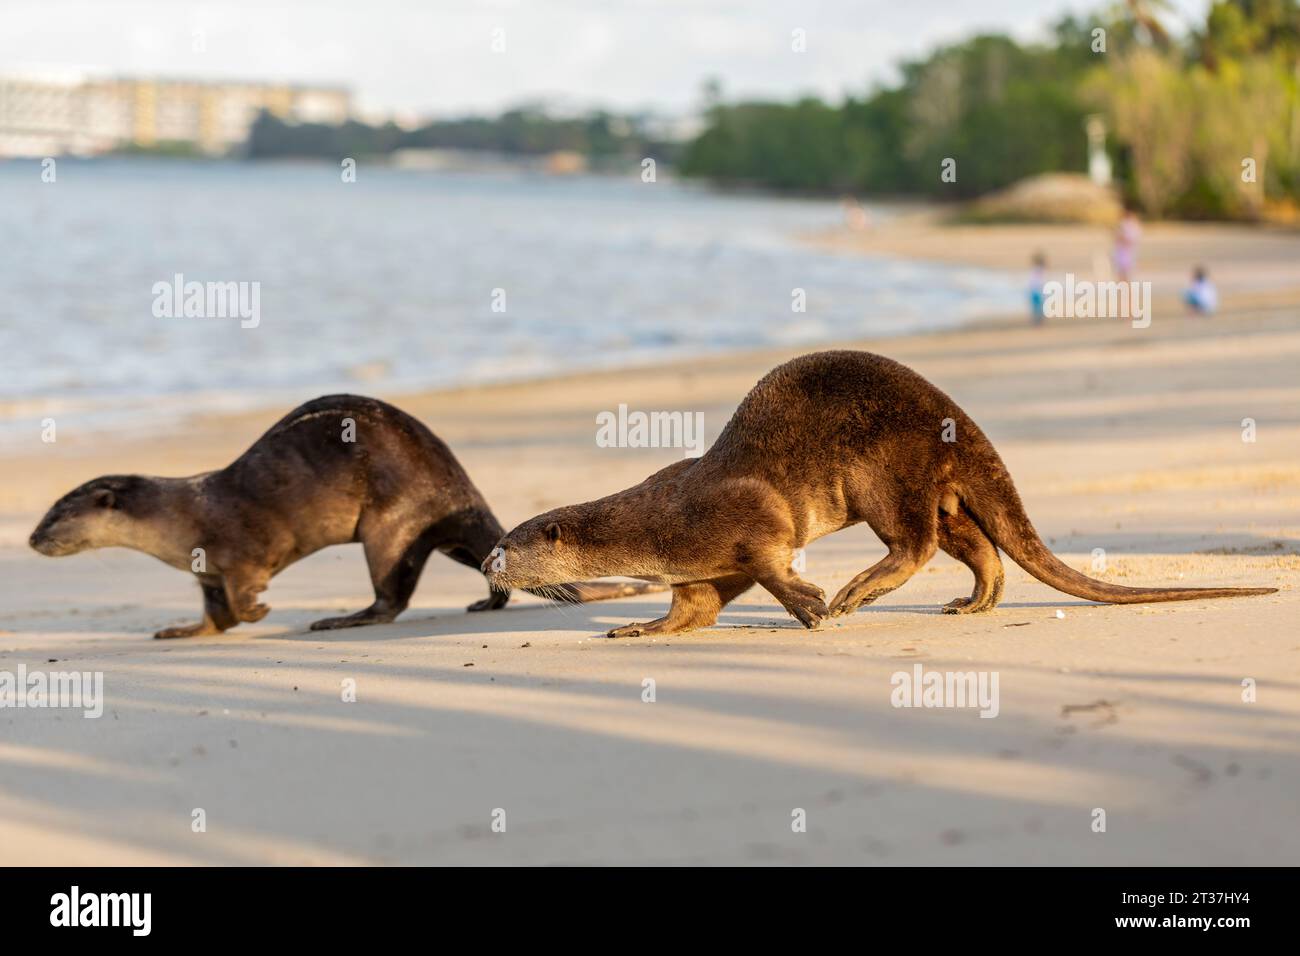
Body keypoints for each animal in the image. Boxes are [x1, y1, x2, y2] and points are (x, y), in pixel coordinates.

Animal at [29, 395, 661, 638]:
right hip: (453, 537)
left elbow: (242, 595)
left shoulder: (240, 549)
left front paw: (261, 611)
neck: (183, 516)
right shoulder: (205, 572)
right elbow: (215, 614)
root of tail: (456, 480)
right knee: (482, 566)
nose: (33, 538)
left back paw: (341, 619)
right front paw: (182, 630)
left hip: (390, 523)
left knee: (391, 597)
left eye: (57, 514)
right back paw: (484, 604)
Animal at [484, 350, 1276, 638]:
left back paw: (853, 594)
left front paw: (809, 605)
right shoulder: (703, 564)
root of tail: (955, 421)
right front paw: (640, 627)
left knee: (916, 542)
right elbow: (696, 605)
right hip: (941, 490)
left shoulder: (742, 516)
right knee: (977, 545)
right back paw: (971, 604)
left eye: (506, 544)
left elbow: (771, 560)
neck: (657, 521)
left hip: (888, 474)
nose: (488, 563)